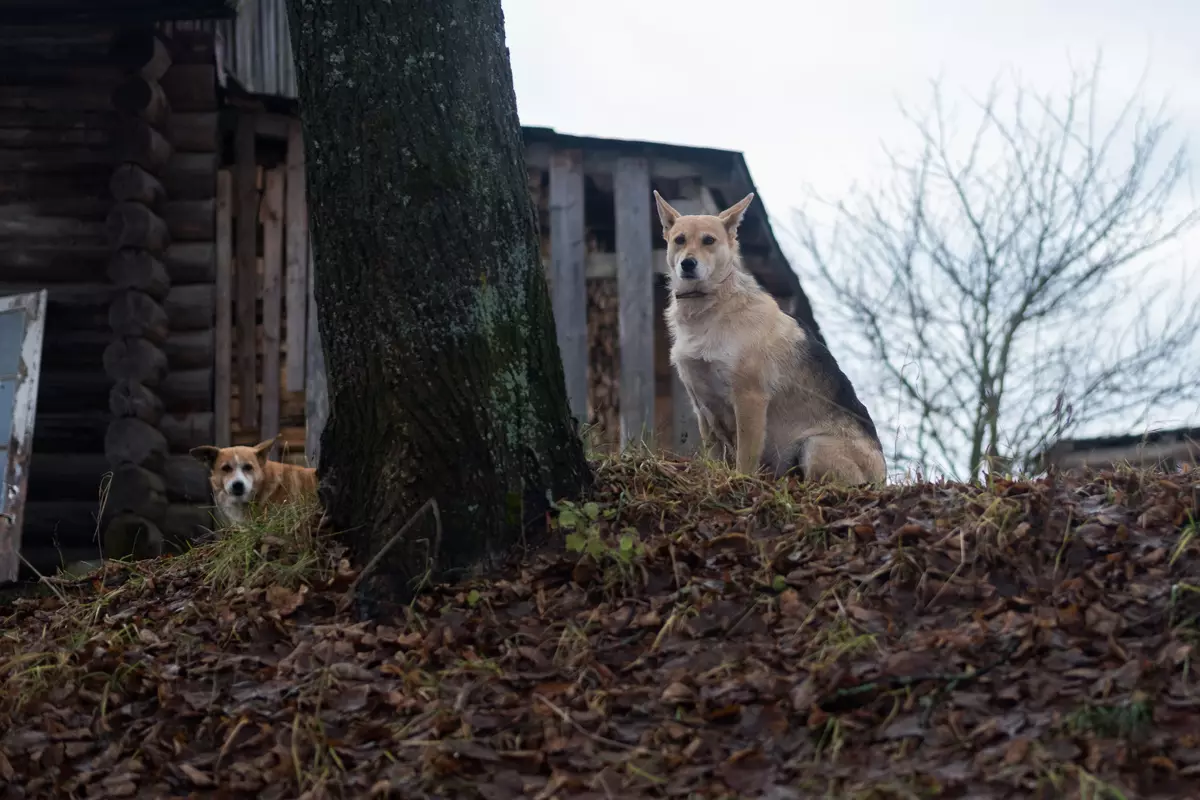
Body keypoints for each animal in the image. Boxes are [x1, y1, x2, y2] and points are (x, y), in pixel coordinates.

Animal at [652, 190, 888, 484]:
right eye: (679, 240)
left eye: (709, 240)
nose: (687, 263)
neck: (711, 305)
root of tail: (882, 474)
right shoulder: (703, 407)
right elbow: (714, 454)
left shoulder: (750, 399)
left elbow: (745, 456)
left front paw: (740, 481)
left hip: (814, 445)